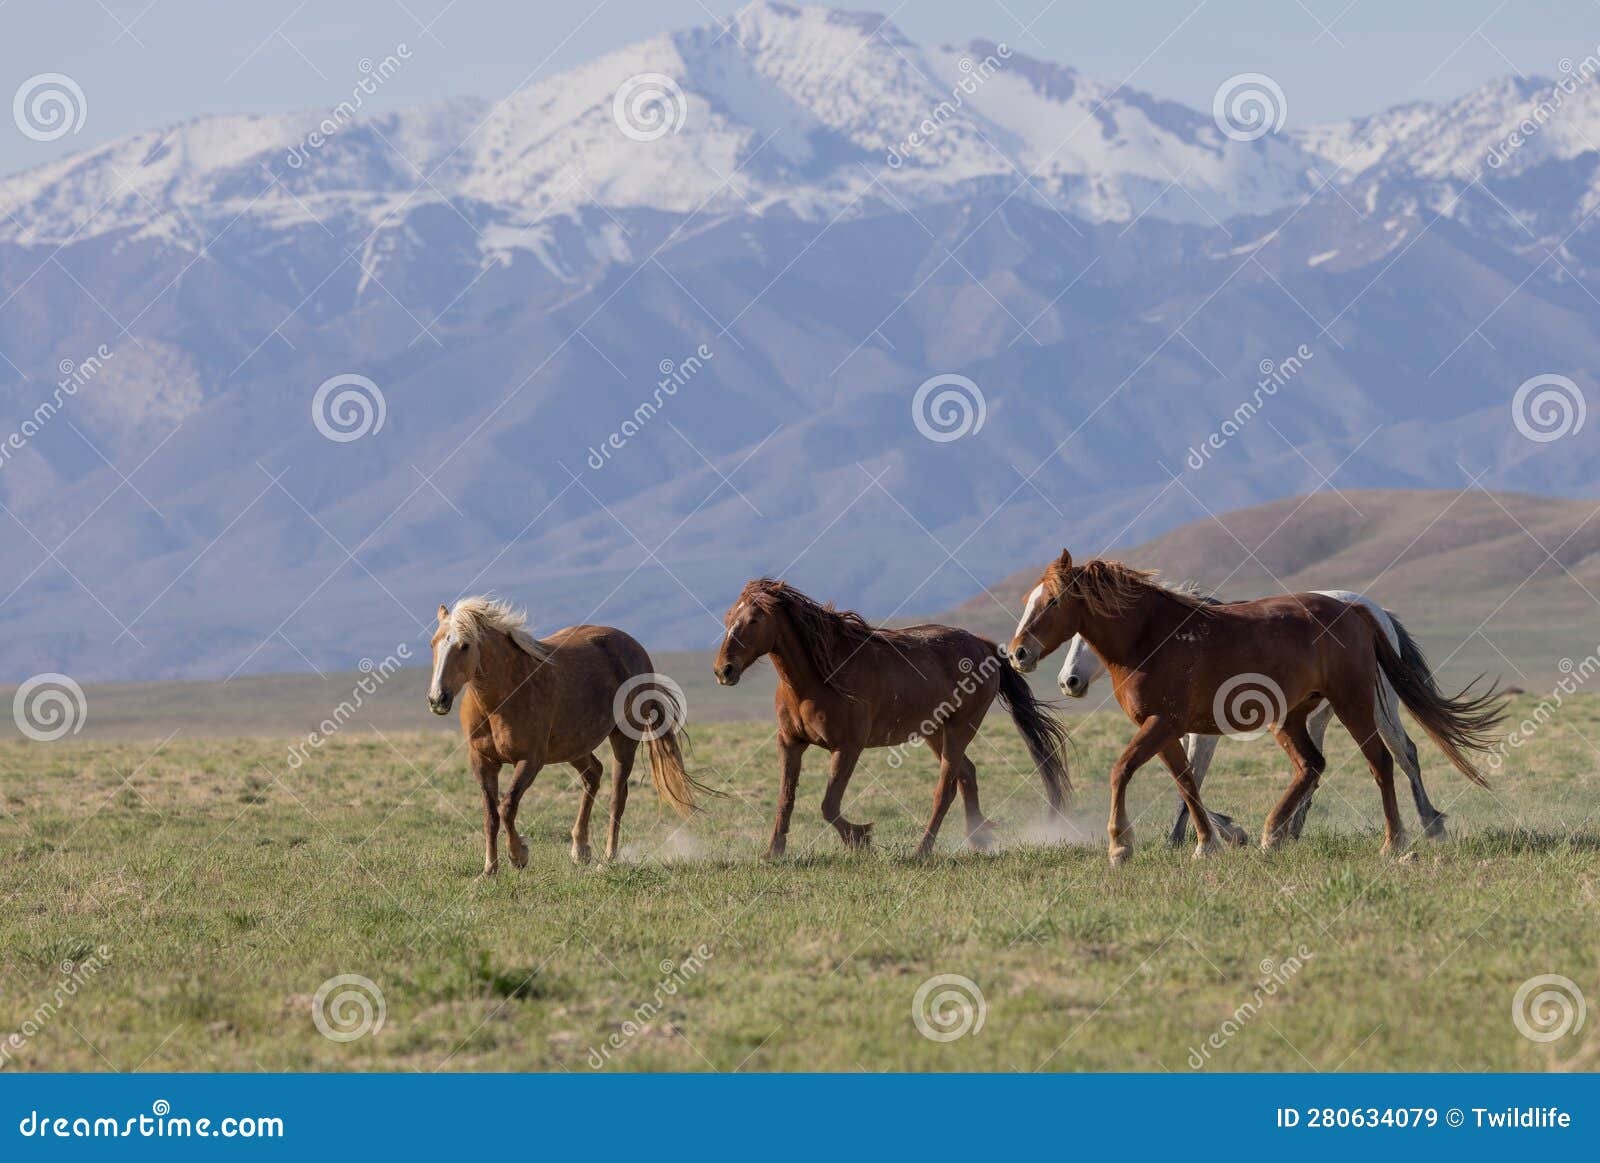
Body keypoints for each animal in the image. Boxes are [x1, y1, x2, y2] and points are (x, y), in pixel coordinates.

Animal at [427, 596, 703, 875]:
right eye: (433, 643)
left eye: (464, 646)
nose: (437, 698)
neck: (501, 700)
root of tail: (634, 647)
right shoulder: (482, 761)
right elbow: (490, 815)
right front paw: (489, 870)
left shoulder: (530, 761)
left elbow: (507, 807)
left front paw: (519, 855)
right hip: (574, 746)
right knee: (593, 774)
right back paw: (580, 849)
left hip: (623, 739)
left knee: (617, 796)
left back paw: (608, 858)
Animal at [713, 578, 1071, 858]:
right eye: (729, 616)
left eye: (755, 619)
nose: (723, 670)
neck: (816, 680)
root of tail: (983, 646)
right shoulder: (790, 743)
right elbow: (785, 799)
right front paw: (773, 853)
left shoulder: (848, 748)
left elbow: (828, 805)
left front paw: (861, 839)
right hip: (934, 732)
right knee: (966, 774)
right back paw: (978, 839)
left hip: (959, 728)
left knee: (946, 788)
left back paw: (922, 851)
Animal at [1055, 585, 1449, 844]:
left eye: (1087, 640)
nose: (1067, 681)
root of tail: (1372, 610)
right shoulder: (1172, 728)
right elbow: (1184, 777)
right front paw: (1225, 832)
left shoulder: (1200, 733)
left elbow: (1192, 776)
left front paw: (1196, 837)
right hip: (1319, 712)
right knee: (1315, 764)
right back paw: (1291, 829)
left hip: (1376, 706)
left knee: (1404, 752)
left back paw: (1431, 824)